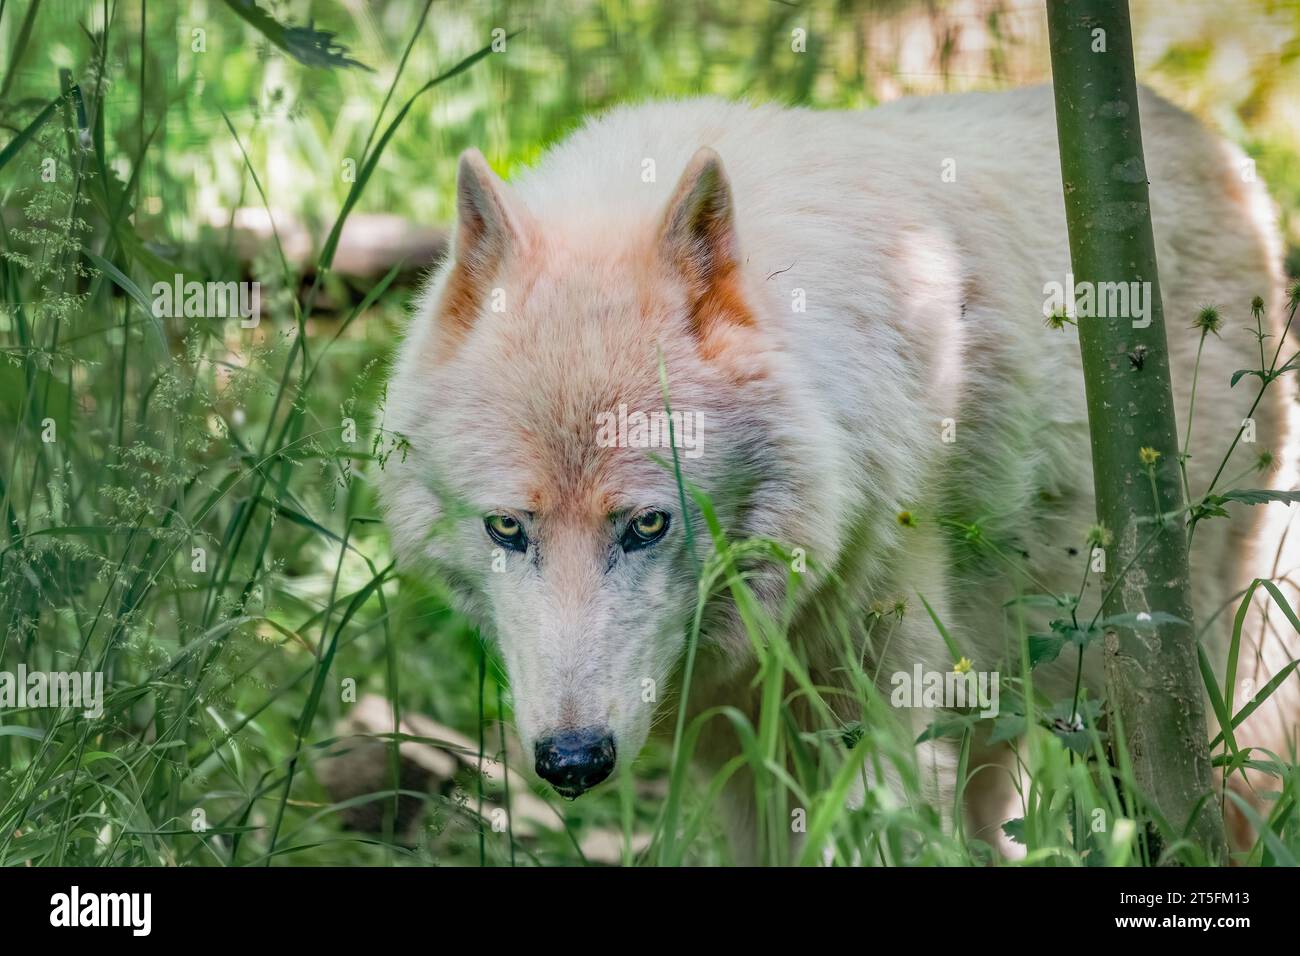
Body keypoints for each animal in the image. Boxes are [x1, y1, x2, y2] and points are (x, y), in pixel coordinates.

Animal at [378, 85, 1298, 858]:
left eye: (647, 525)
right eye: (507, 527)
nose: (573, 761)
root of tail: (1219, 151)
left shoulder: (884, 713)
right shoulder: (737, 746)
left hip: (1162, 699)